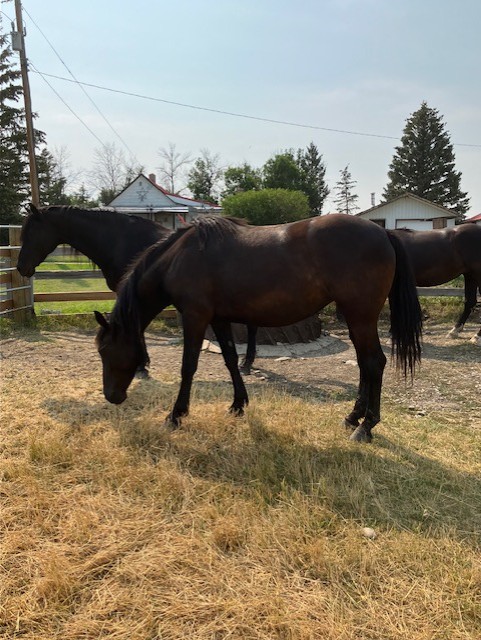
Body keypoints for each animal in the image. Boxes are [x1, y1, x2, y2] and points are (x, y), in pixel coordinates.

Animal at [95, 214, 423, 443]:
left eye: (106, 351)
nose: (111, 396)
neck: (180, 257)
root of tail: (382, 232)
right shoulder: (218, 319)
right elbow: (230, 360)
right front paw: (238, 404)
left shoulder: (195, 317)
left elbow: (188, 366)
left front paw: (176, 415)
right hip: (356, 318)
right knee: (365, 365)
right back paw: (353, 417)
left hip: (361, 316)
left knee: (374, 362)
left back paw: (365, 427)